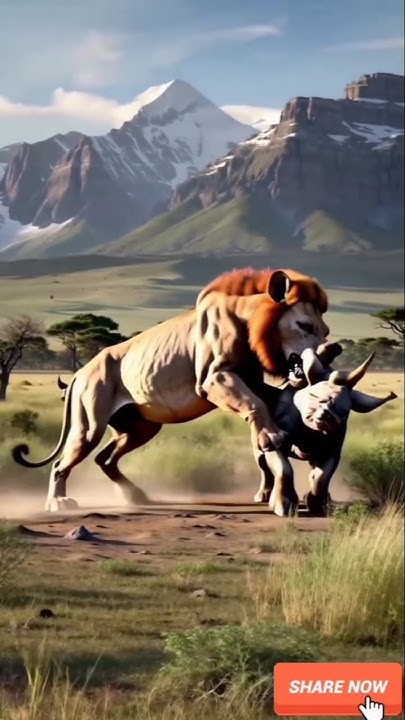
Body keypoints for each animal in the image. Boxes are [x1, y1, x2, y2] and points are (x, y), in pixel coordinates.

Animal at [12, 267, 330, 514]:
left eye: (325, 331)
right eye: (304, 325)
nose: (331, 350)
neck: (249, 321)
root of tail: (79, 372)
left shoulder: (249, 378)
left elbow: (262, 401)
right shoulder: (213, 378)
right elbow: (255, 404)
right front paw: (273, 436)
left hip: (141, 426)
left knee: (105, 459)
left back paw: (137, 496)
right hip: (89, 426)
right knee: (60, 464)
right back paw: (59, 503)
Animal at [251, 345, 397, 517]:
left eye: (344, 412)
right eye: (314, 397)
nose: (326, 417)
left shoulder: (332, 447)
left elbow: (323, 475)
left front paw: (317, 507)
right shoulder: (276, 435)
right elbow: (283, 468)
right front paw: (283, 508)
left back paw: (326, 500)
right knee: (261, 457)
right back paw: (262, 497)